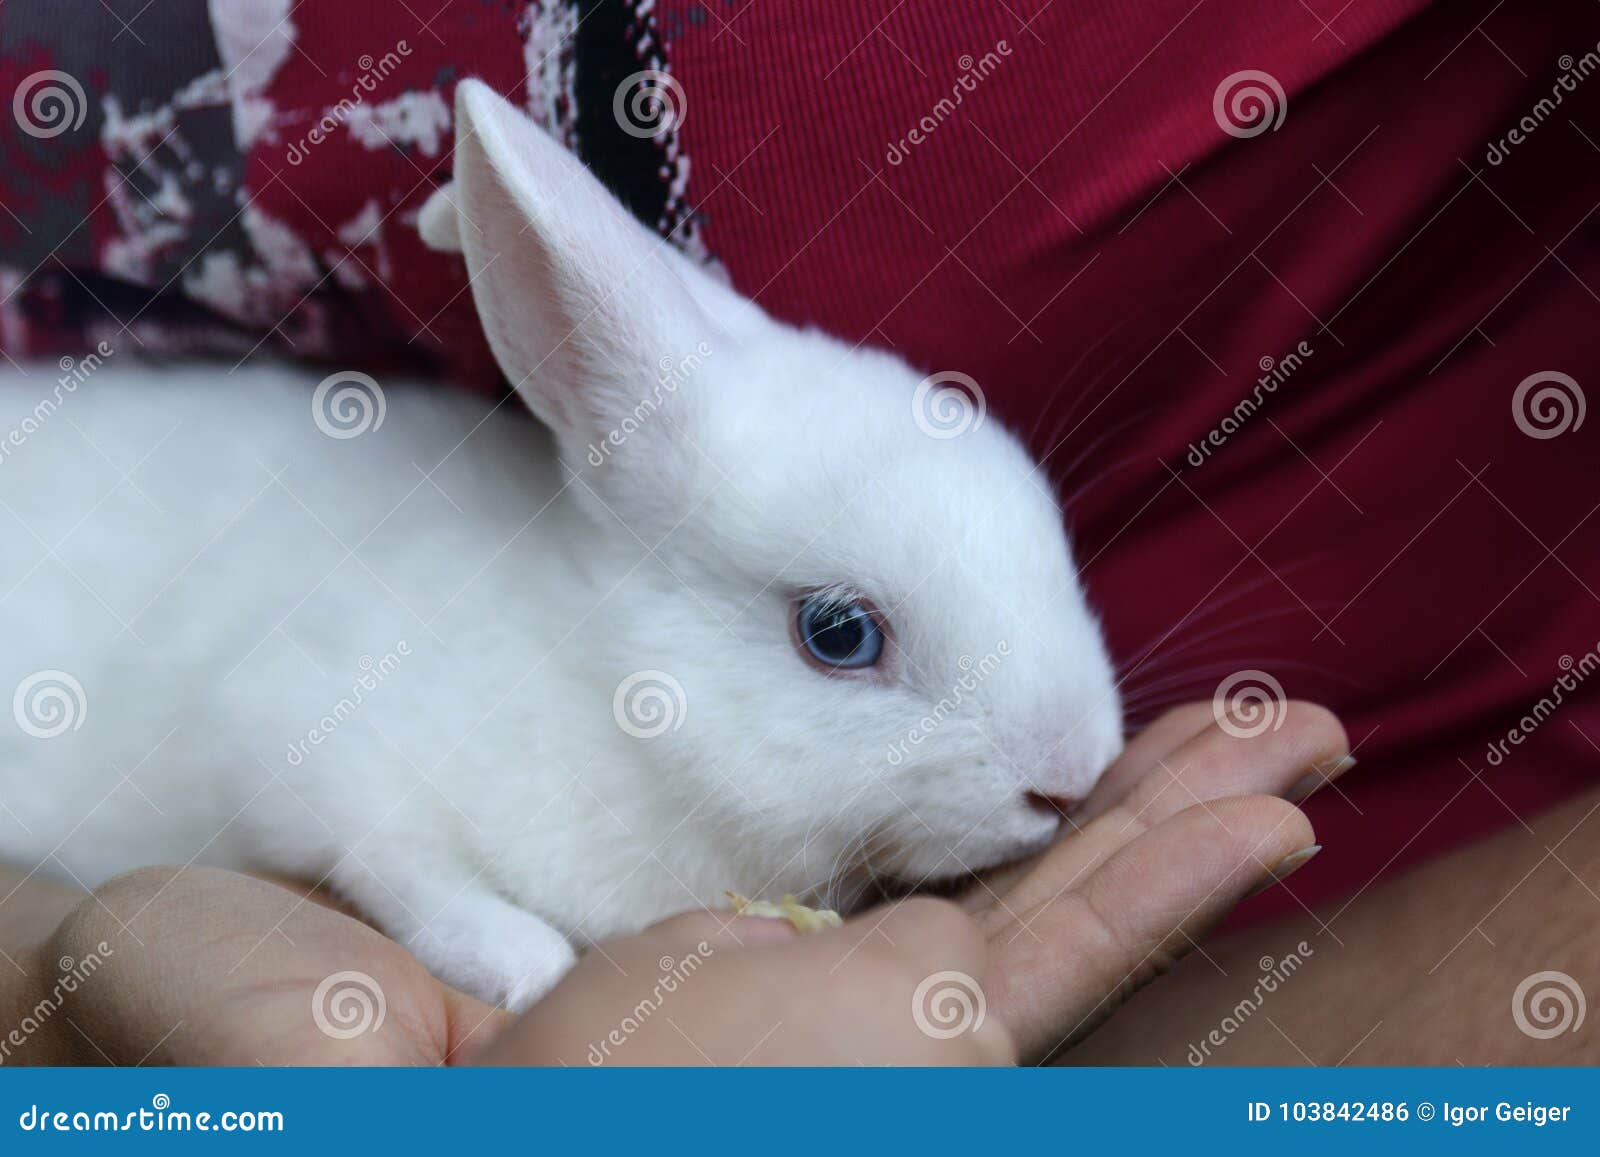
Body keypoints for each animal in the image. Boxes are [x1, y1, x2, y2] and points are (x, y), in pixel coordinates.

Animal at [0, 81, 1123, 1011]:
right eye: (838, 633)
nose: (1071, 775)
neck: (607, 686)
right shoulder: (304, 736)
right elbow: (403, 867)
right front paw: (523, 961)